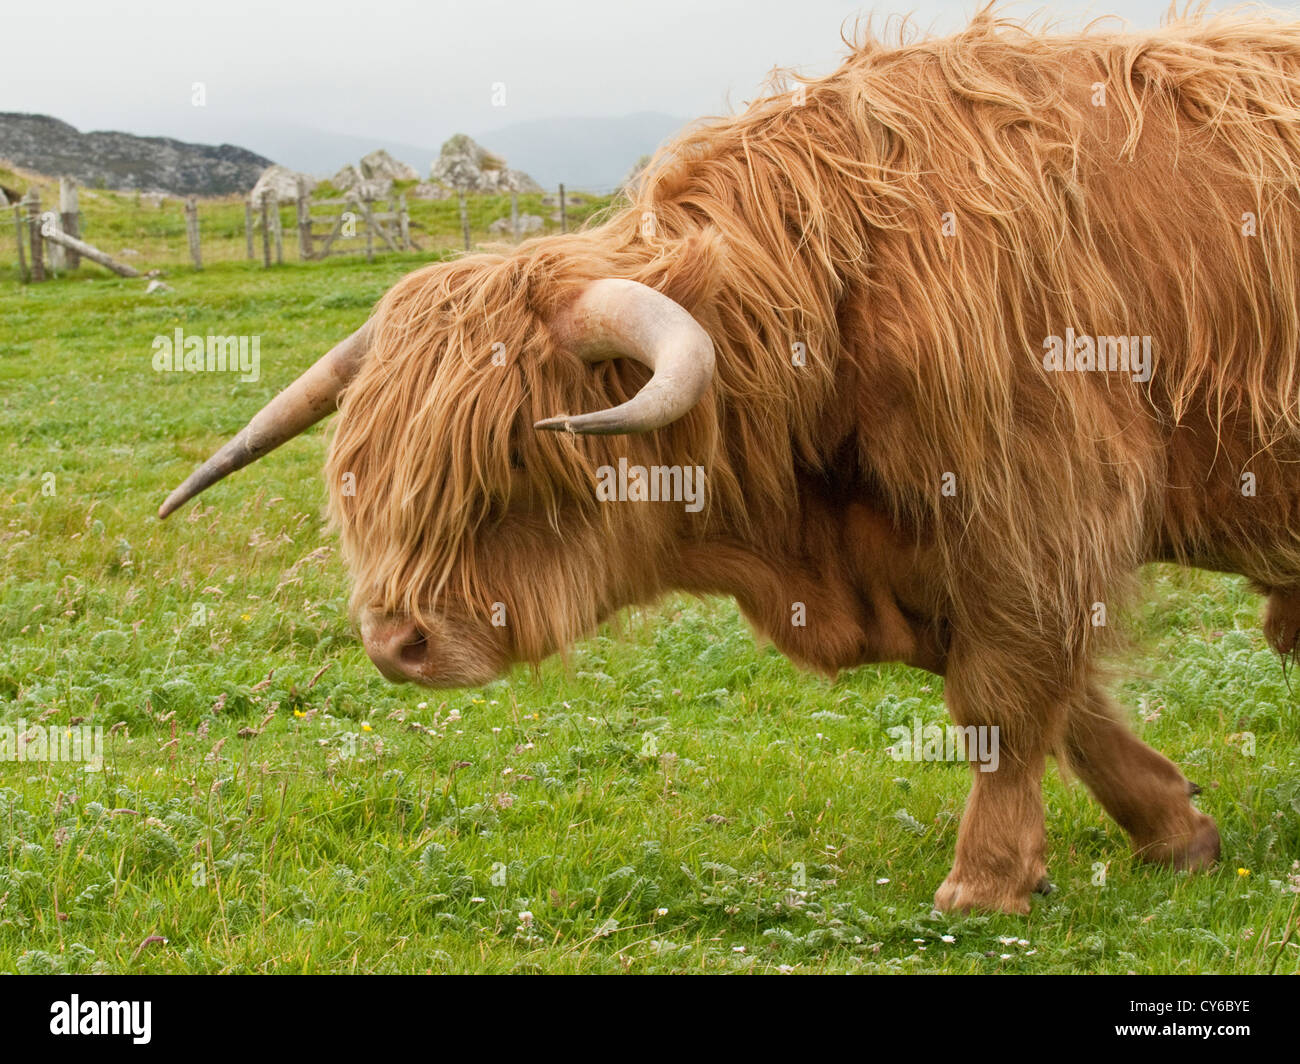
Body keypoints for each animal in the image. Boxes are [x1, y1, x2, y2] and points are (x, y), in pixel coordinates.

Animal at [159, 10, 1300, 915]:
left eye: (515, 467)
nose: (395, 642)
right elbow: (1062, 703)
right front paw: (1173, 826)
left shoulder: (1037, 510)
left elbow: (1006, 698)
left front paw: (985, 881)